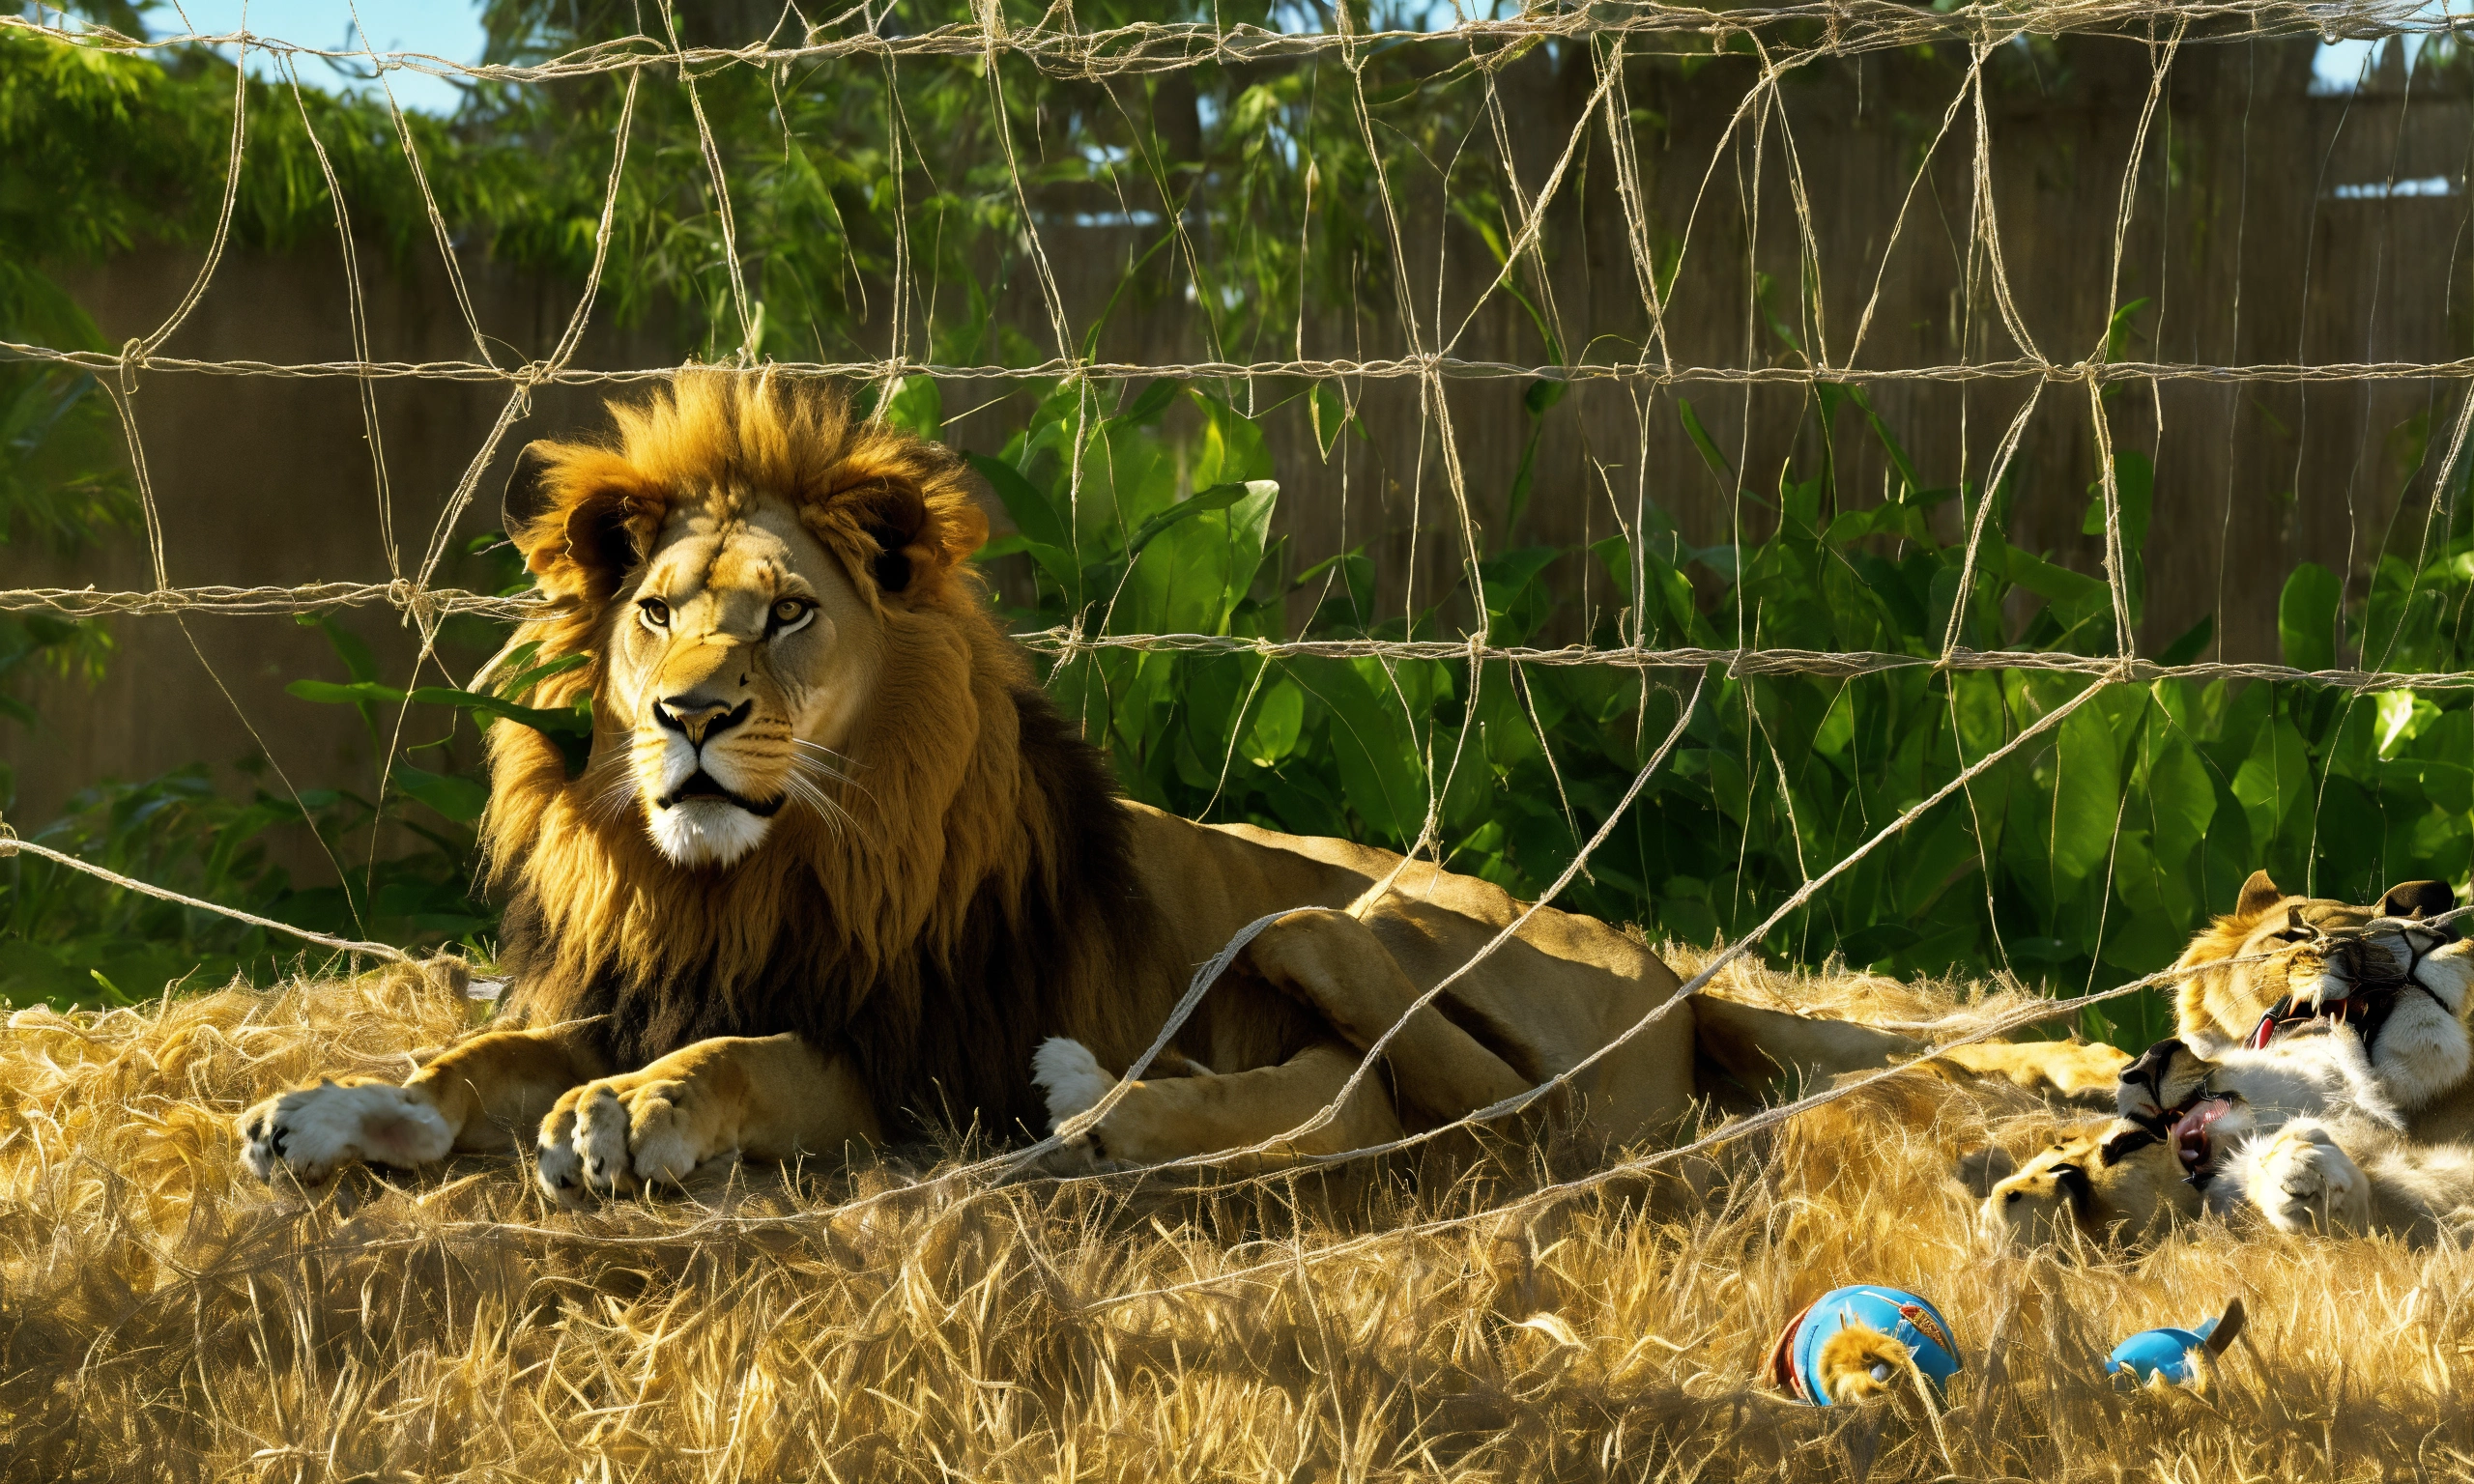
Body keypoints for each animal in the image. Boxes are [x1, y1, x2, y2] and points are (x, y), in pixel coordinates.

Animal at [237, 372, 2113, 1202]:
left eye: (786, 614)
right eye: (653, 617)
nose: (691, 715)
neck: (747, 870)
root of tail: (1670, 976)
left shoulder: (911, 1054)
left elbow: (747, 1059)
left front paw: (635, 1114)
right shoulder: (627, 978)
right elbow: (473, 1065)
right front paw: (334, 1109)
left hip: (1359, 910)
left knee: (1440, 1112)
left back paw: (1097, 1096)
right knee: (1364, 1100)